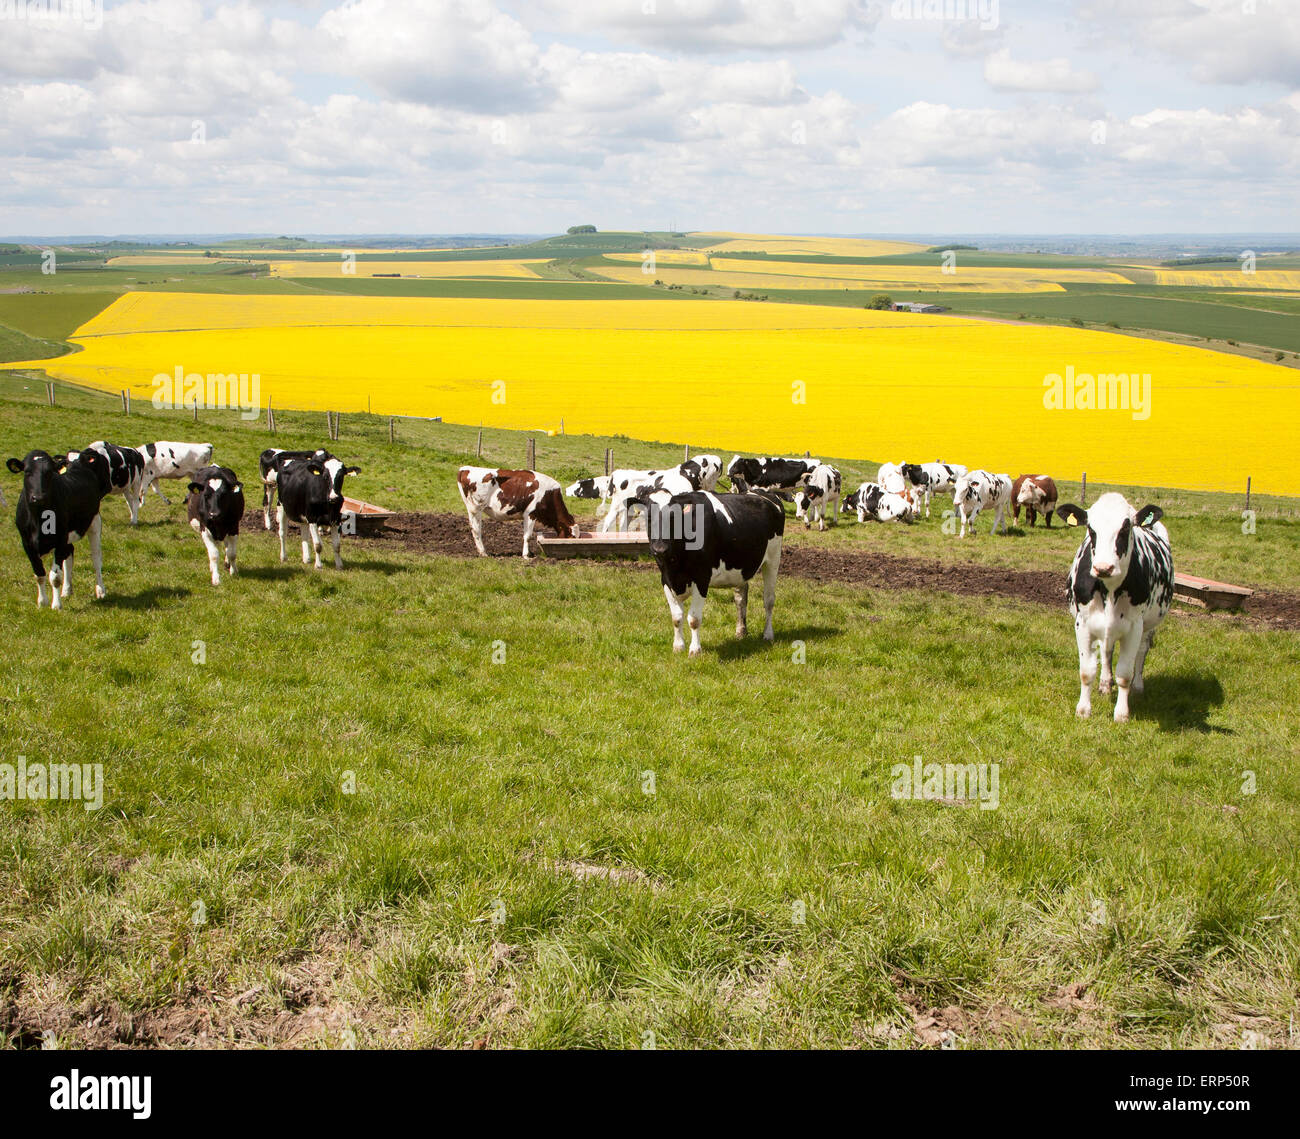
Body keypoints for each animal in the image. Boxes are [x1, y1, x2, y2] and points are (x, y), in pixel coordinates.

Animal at [7, 448, 111, 609]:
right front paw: (42, 602)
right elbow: (39, 574)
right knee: (69, 554)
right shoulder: (27, 543)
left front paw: (56, 605)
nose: (38, 497)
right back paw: (67, 590)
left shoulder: (60, 539)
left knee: (96, 558)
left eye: (49, 472)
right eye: (27, 471)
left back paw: (101, 590)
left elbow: (55, 577)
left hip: (94, 521)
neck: (39, 518)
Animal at [634, 486, 784, 657]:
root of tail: (764, 492)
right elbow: (676, 617)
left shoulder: (701, 578)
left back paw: (768, 634)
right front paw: (678, 647)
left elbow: (694, 619)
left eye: (674, 517)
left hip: (773, 559)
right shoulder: (666, 579)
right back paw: (741, 632)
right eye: (648, 517)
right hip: (740, 568)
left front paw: (695, 650)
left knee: (769, 600)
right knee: (741, 598)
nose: (659, 549)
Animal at [1058, 494, 1173, 723]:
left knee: (1142, 651)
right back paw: (1104, 683)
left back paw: (1138, 686)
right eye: (1091, 529)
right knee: (1106, 649)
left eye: (1126, 528)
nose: (1103, 567)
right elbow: (1087, 671)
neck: (1110, 589)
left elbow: (1124, 674)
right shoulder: (1083, 624)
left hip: (1149, 625)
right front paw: (1083, 710)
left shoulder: (1134, 627)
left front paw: (1121, 713)